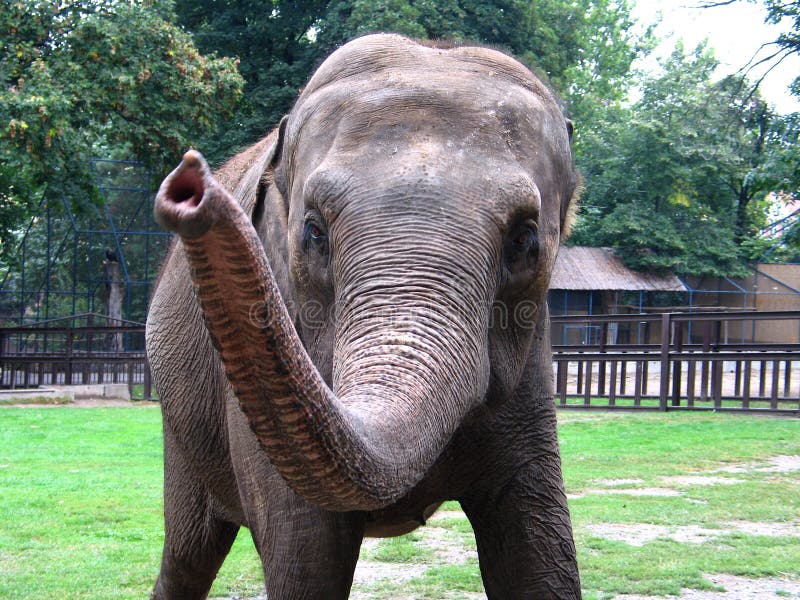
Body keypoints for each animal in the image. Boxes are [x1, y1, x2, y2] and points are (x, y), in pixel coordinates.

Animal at [146, 33, 581, 599]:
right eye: (314, 231)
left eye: (525, 240)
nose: (189, 187)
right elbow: (306, 561)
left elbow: (537, 552)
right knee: (188, 553)